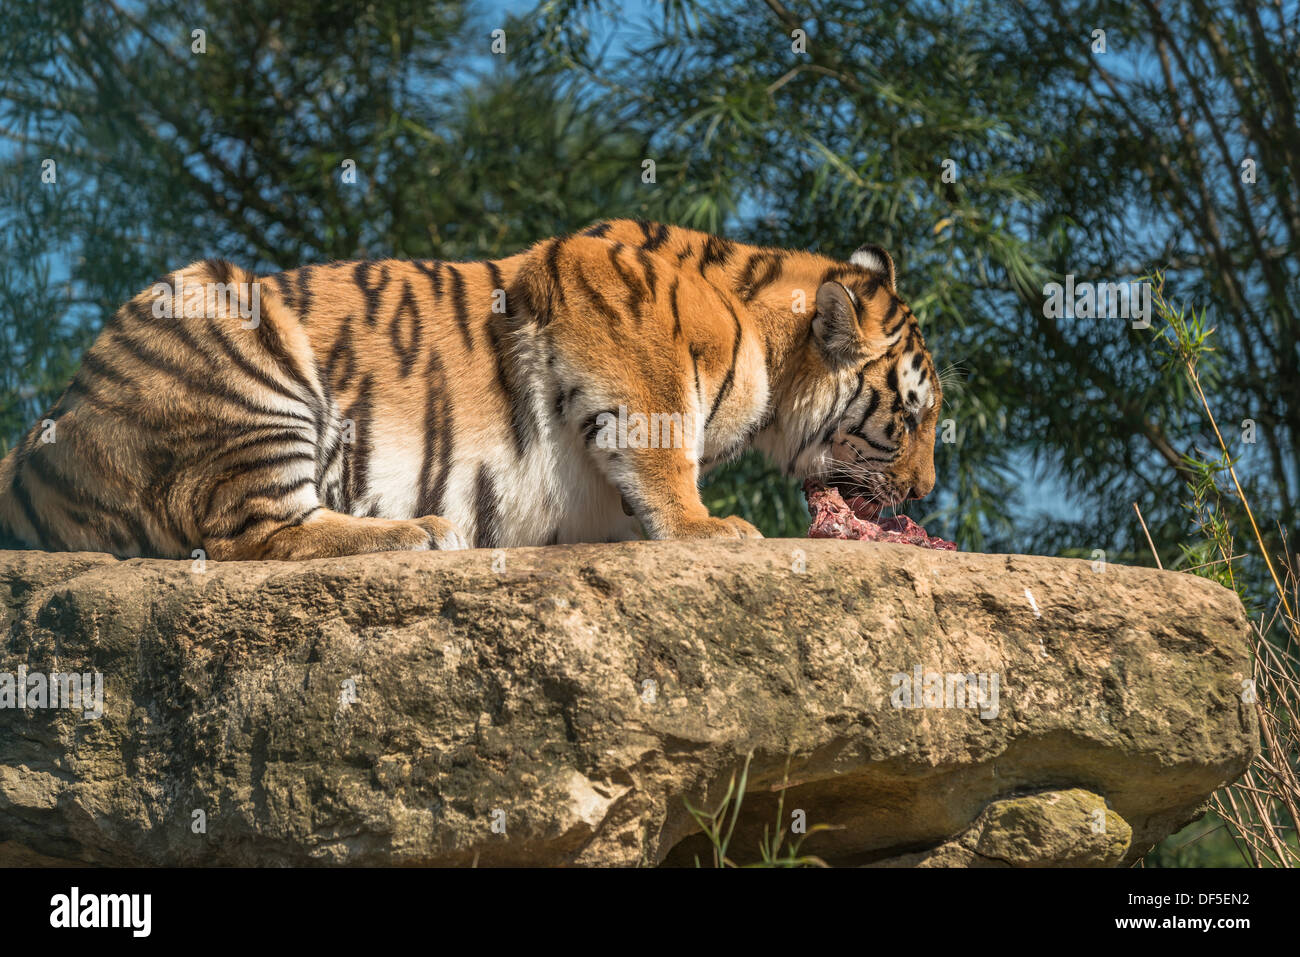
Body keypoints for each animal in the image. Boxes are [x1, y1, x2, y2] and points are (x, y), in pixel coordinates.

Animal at [0, 220, 941, 561]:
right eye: (913, 418)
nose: (928, 491)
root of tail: (39, 435)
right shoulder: (608, 311)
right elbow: (661, 444)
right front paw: (708, 525)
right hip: (222, 323)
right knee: (251, 535)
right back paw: (415, 530)